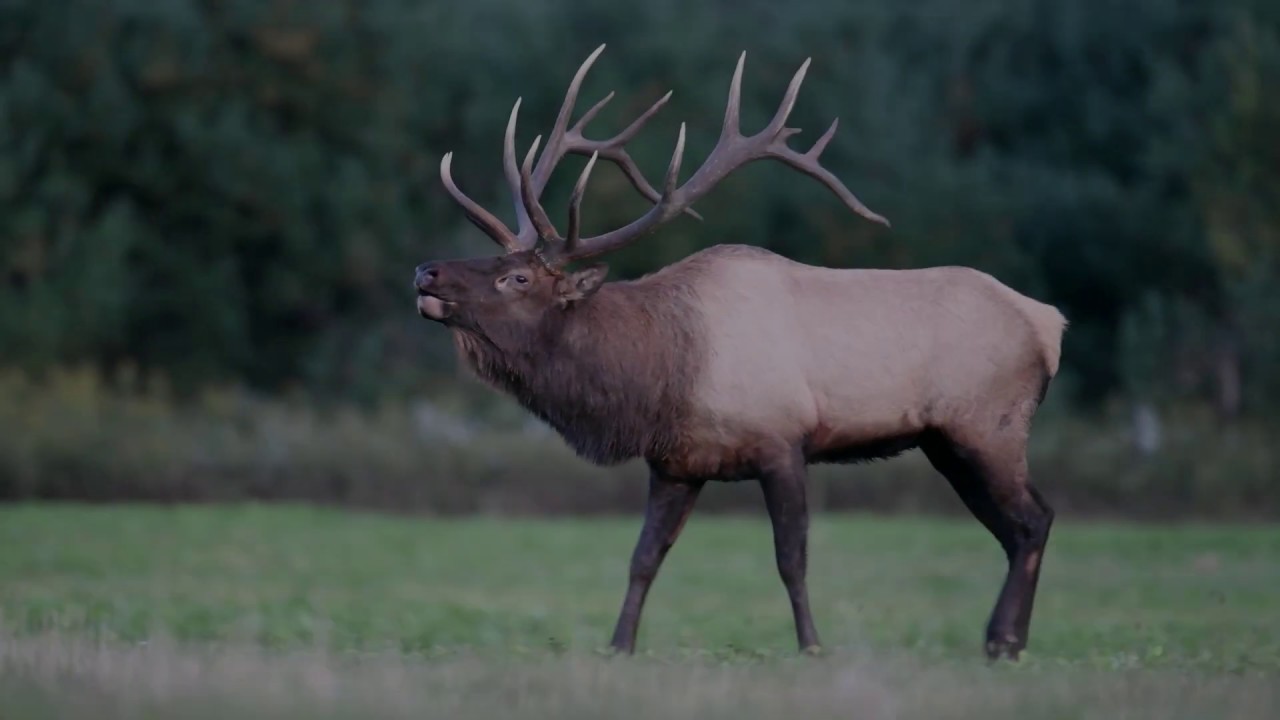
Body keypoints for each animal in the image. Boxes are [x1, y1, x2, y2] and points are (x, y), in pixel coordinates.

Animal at [413, 45, 1067, 661]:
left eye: (518, 278)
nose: (427, 271)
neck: (662, 373)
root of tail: (1049, 323)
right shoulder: (676, 463)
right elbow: (643, 558)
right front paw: (619, 646)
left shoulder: (783, 440)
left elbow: (791, 558)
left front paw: (812, 647)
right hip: (945, 442)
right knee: (1014, 528)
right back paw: (1004, 641)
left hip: (987, 424)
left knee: (1034, 518)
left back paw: (1005, 641)